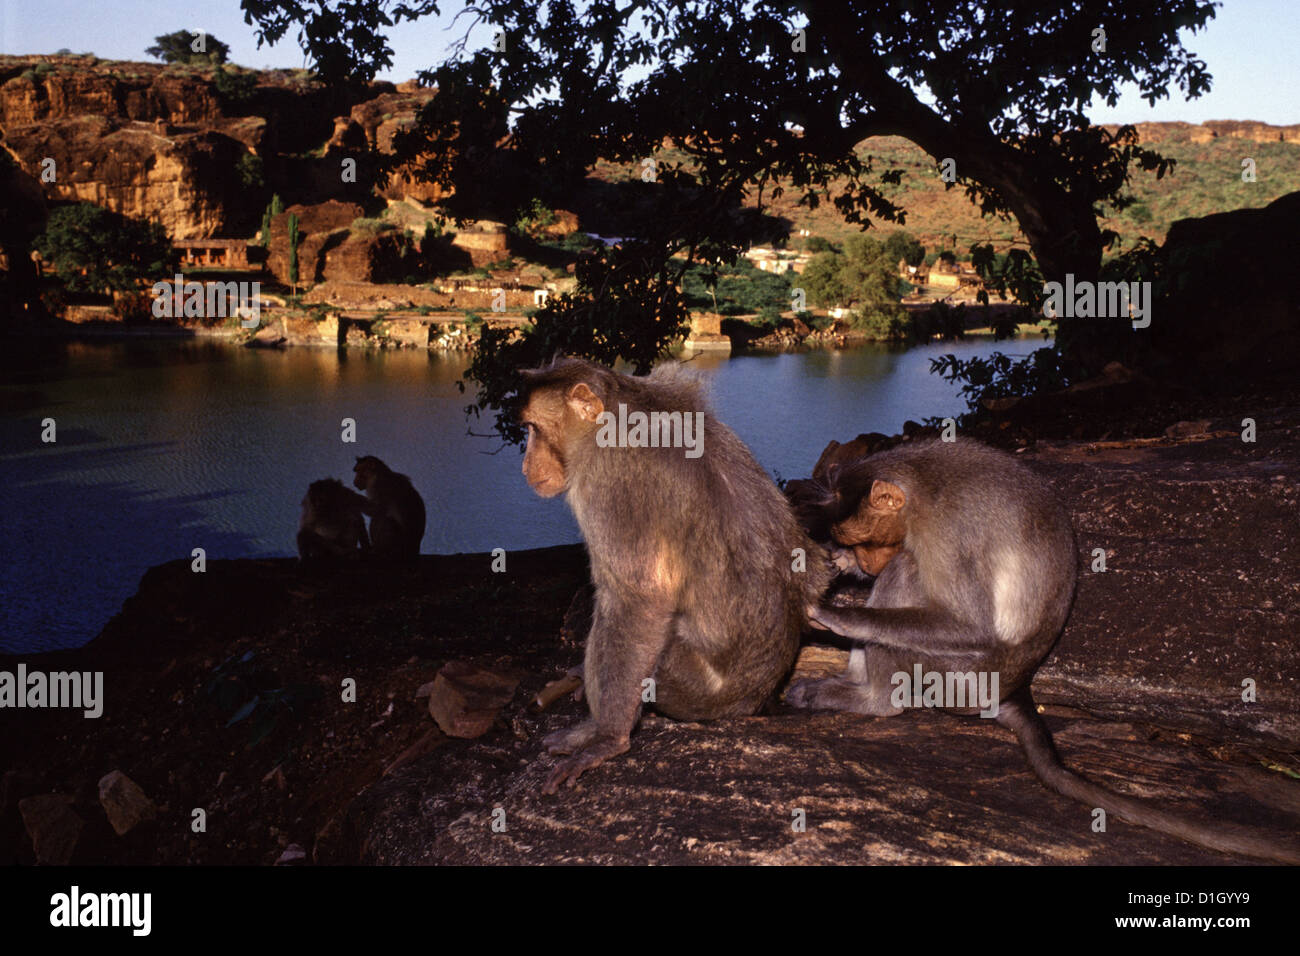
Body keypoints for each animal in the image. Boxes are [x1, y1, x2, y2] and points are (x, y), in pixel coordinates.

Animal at [518, 357, 831, 794]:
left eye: (532, 429)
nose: (525, 464)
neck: (622, 409)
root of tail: (750, 701)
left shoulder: (611, 485)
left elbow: (641, 599)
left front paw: (607, 738)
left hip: (689, 684)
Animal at [787, 437, 1300, 863]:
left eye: (868, 539)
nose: (867, 560)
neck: (923, 481)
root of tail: (1013, 688)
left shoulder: (951, 535)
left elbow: (969, 623)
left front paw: (836, 615)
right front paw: (841, 566)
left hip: (955, 677)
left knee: (909, 573)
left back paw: (875, 699)